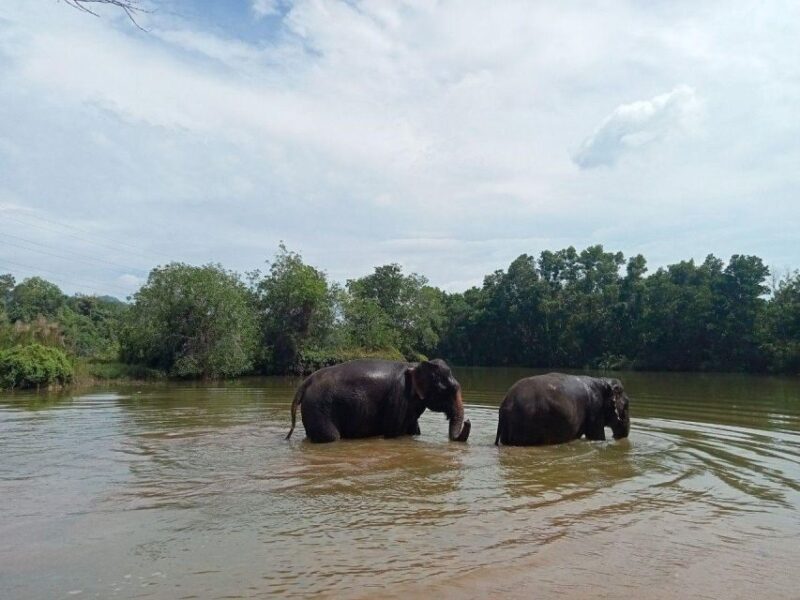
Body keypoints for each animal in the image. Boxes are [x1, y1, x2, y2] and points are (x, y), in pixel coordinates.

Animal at [285, 359, 471, 443]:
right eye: (449, 390)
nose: (468, 421)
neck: (415, 365)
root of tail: (306, 381)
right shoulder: (398, 398)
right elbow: (394, 433)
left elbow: (414, 431)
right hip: (319, 408)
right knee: (332, 437)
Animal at [494, 373, 630, 446]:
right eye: (627, 405)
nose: (619, 437)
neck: (604, 381)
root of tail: (505, 405)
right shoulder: (595, 411)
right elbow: (597, 436)